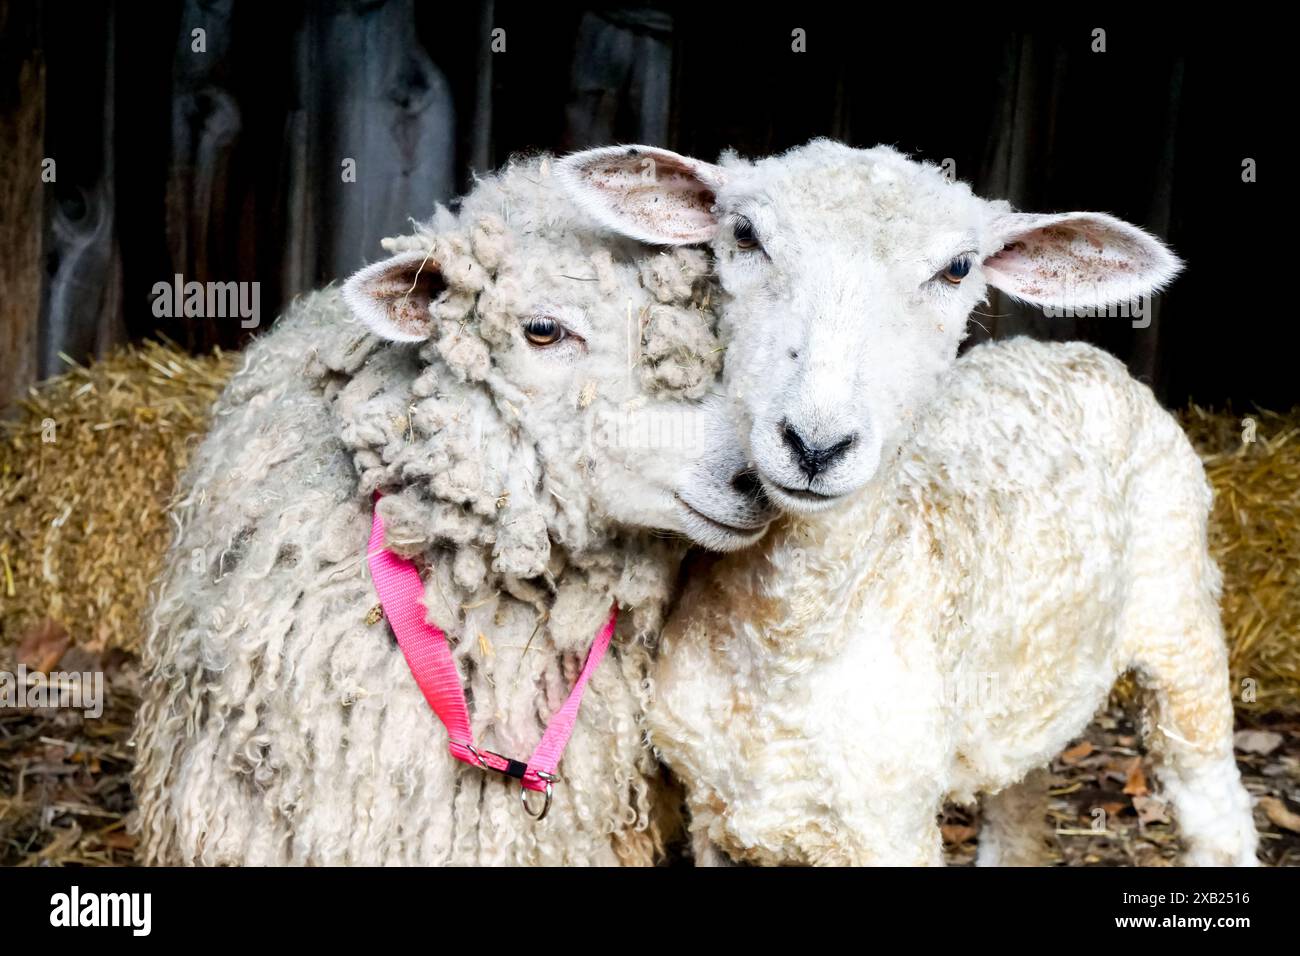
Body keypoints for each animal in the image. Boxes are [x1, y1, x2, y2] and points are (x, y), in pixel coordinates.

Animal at [557, 140, 1258, 866]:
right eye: (745, 234)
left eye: (958, 268)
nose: (815, 444)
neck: (788, 646)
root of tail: (1085, 353)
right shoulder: (713, 809)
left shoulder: (891, 824)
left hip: (1181, 619)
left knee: (1215, 802)